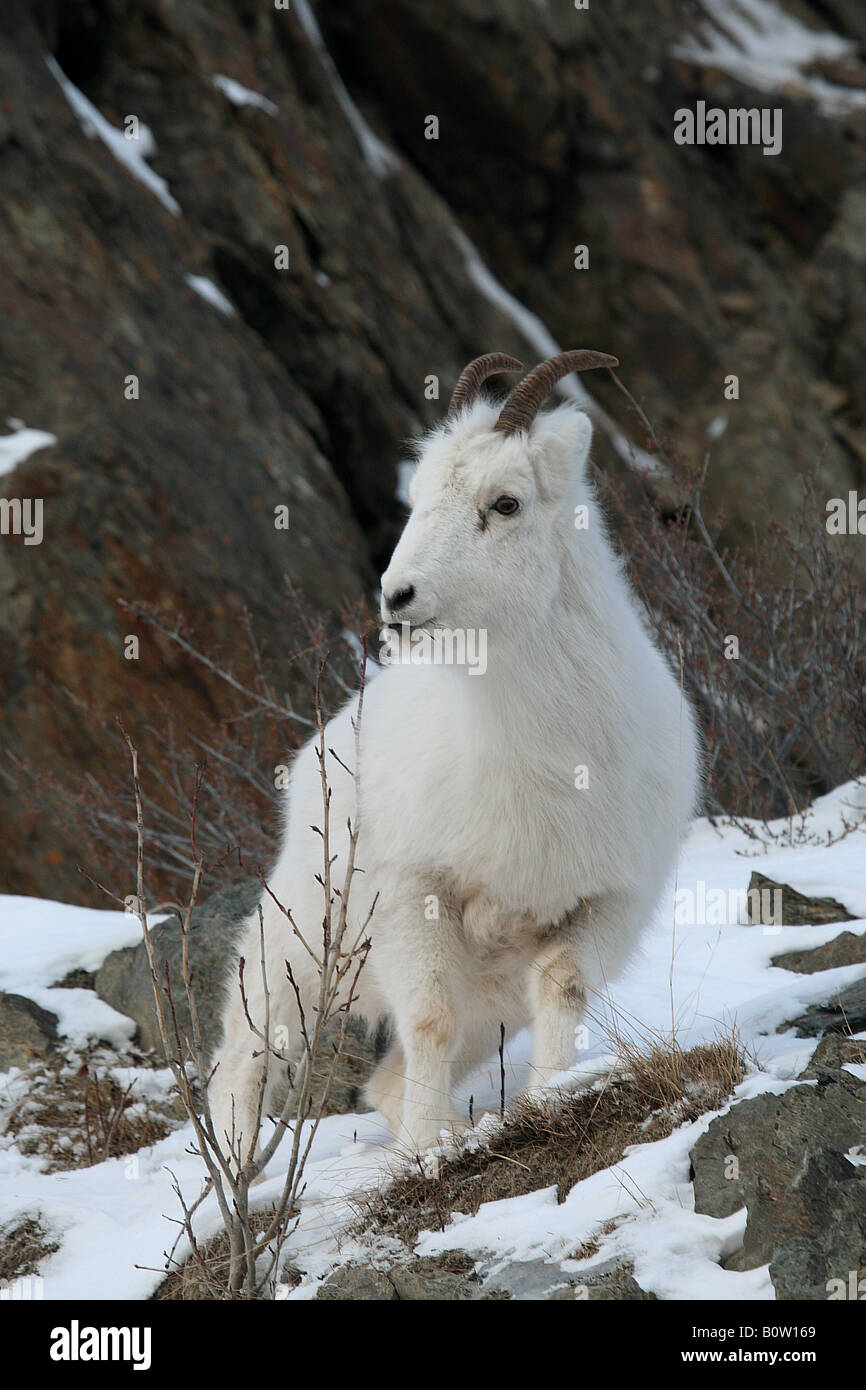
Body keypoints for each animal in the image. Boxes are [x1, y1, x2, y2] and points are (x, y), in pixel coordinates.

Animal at [209, 350, 701, 1163]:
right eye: (417, 497)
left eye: (504, 503)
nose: (396, 598)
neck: (543, 764)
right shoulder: (414, 900)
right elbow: (428, 1020)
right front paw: (422, 1155)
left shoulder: (600, 908)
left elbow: (561, 991)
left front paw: (548, 1102)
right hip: (296, 947)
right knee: (247, 1058)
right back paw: (241, 1173)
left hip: (489, 1002)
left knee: (379, 1083)